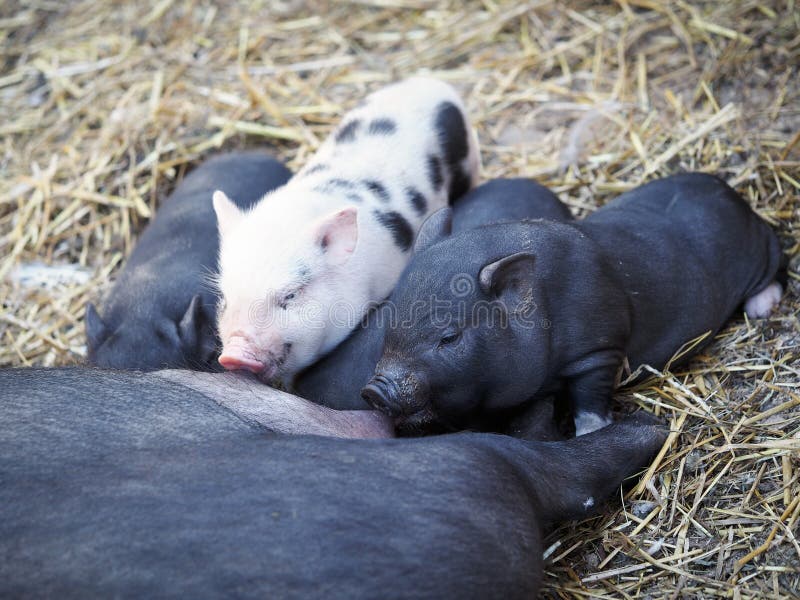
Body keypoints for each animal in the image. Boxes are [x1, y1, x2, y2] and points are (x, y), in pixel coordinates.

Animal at [361, 173, 784, 436]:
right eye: (391, 320)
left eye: (449, 337)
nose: (374, 390)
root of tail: (728, 190)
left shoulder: (600, 347)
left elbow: (590, 399)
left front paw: (591, 433)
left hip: (760, 246)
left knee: (778, 257)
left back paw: (762, 308)